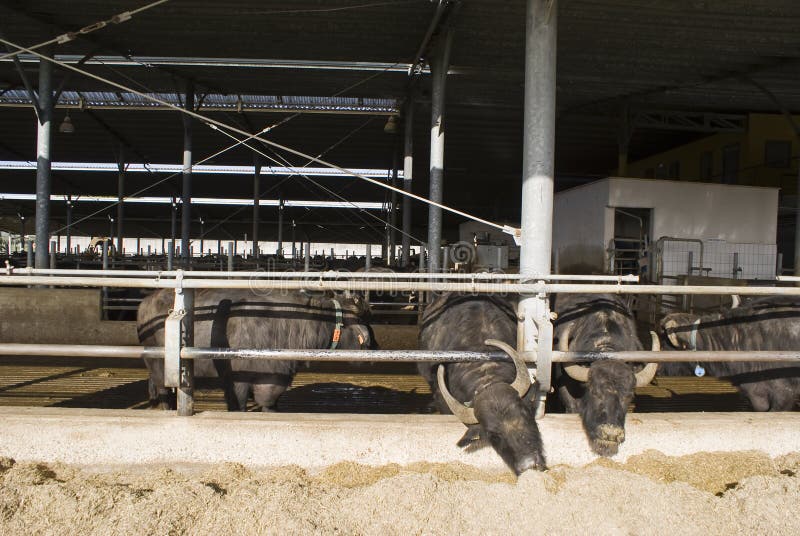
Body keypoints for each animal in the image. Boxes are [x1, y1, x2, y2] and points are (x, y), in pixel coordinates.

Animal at [137, 288, 374, 411]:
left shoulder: (274, 379)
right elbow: (241, 405)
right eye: (361, 320)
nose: (375, 347)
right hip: (158, 367)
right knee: (163, 393)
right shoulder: (238, 381)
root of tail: (147, 301)